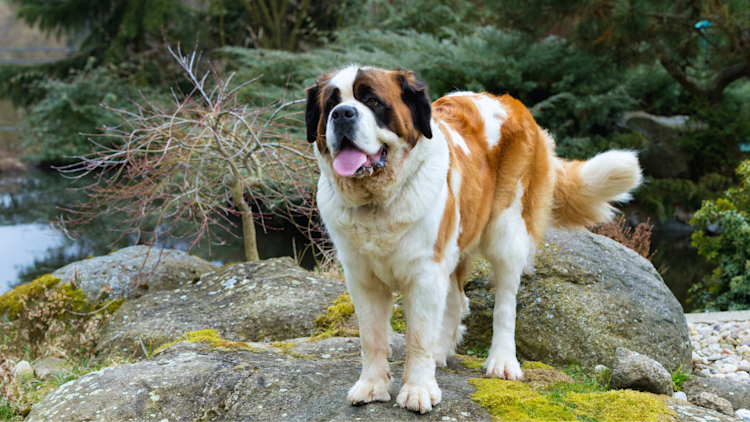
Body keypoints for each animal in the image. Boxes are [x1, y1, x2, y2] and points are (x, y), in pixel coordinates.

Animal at [302, 64, 644, 414]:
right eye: (331, 104)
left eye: (372, 101)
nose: (343, 114)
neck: (377, 203)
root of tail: (509, 102)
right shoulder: (362, 278)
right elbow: (371, 336)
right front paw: (372, 386)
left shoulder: (425, 273)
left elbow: (418, 336)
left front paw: (418, 389)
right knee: (456, 301)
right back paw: (442, 353)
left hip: (507, 234)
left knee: (505, 305)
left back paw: (502, 361)